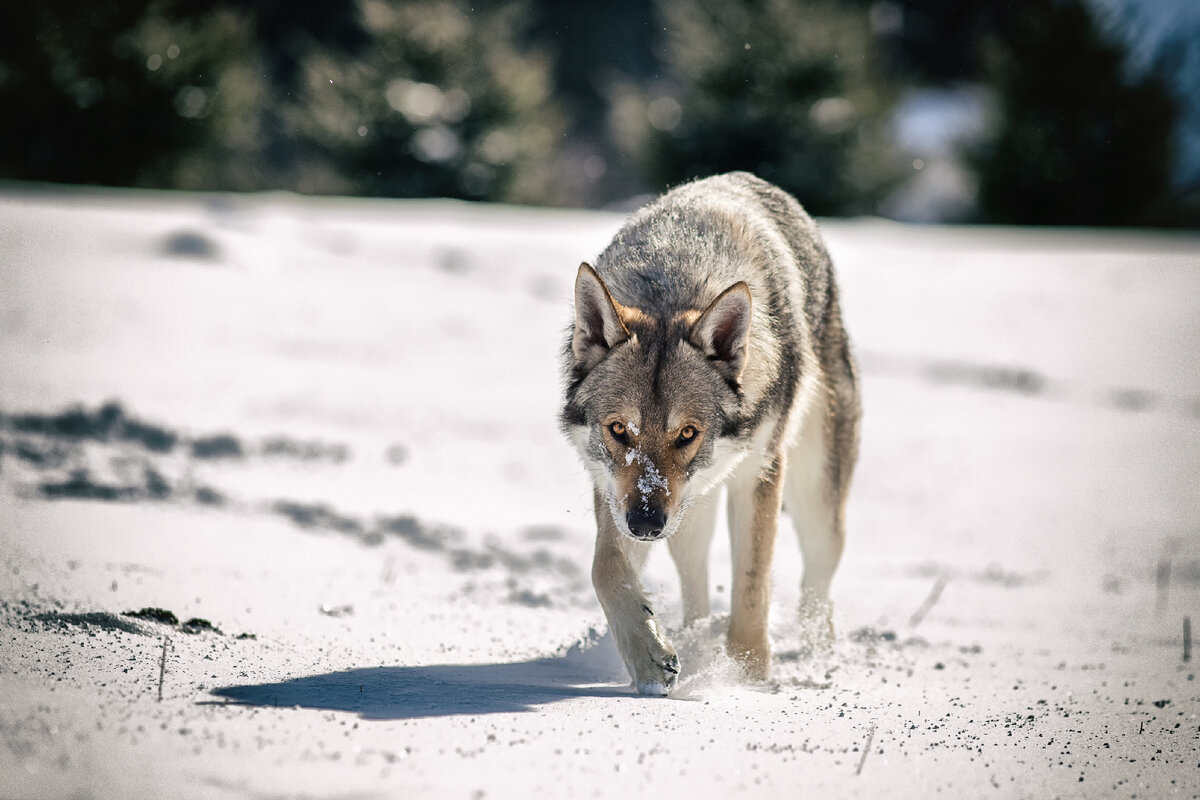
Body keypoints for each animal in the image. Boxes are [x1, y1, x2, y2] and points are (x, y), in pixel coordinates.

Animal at [556, 170, 859, 695]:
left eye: (687, 433)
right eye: (619, 430)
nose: (645, 524)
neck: (672, 287)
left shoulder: (759, 475)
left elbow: (752, 587)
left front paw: (744, 680)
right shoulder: (614, 489)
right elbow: (605, 569)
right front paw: (650, 657)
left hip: (817, 505)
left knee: (817, 587)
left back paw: (818, 660)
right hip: (687, 515)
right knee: (693, 581)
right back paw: (695, 643)